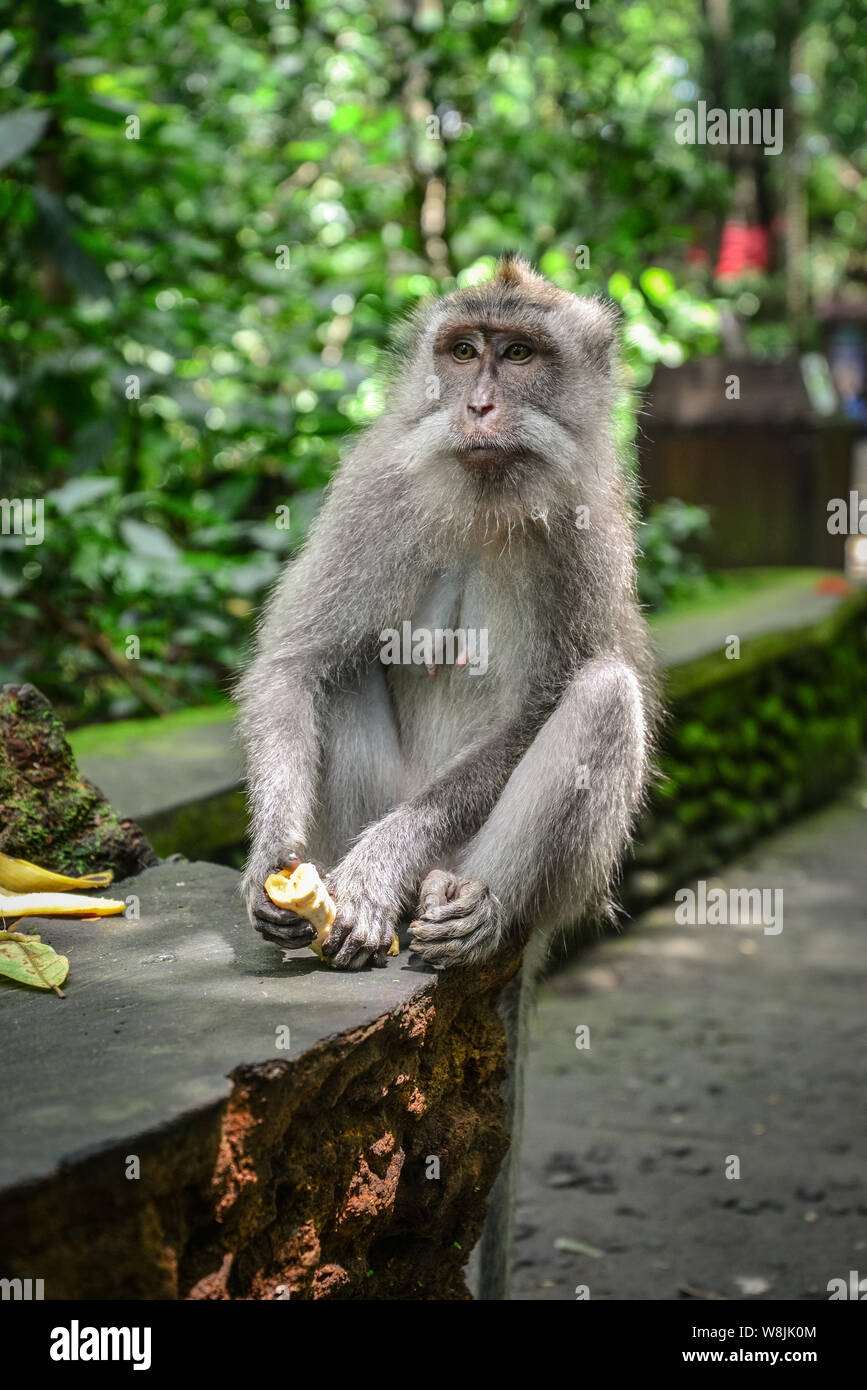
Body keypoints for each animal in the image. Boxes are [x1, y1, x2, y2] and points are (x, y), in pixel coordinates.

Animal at [236, 254, 658, 971]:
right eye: (463, 352)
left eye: (518, 354)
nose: (478, 405)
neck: (487, 498)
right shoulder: (375, 489)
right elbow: (297, 665)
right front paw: (272, 857)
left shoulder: (587, 525)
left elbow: (540, 708)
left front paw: (383, 862)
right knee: (345, 665)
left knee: (604, 692)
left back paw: (474, 907)